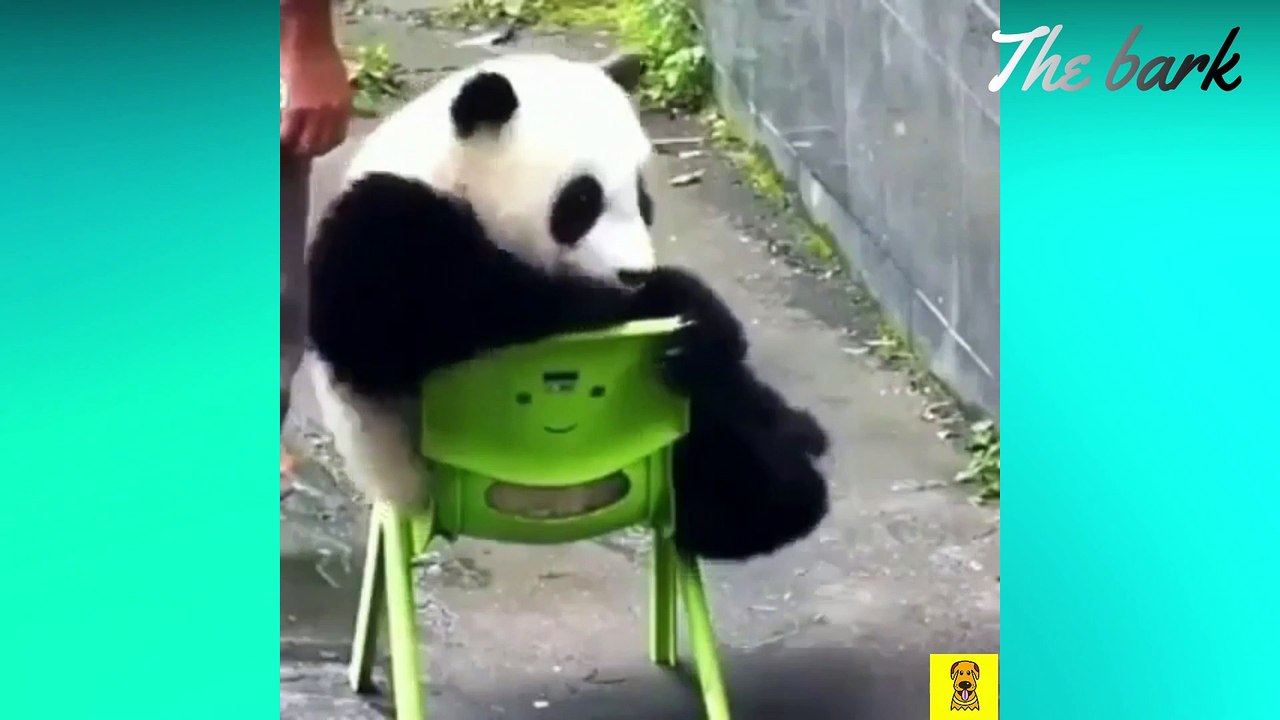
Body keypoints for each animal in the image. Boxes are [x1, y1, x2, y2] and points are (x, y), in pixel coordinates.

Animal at [305, 53, 830, 561]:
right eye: (581, 200)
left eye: (643, 200)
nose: (634, 275)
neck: (450, 175)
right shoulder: (385, 229)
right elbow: (422, 317)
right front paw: (669, 299)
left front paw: (700, 319)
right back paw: (780, 492)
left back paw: (796, 440)